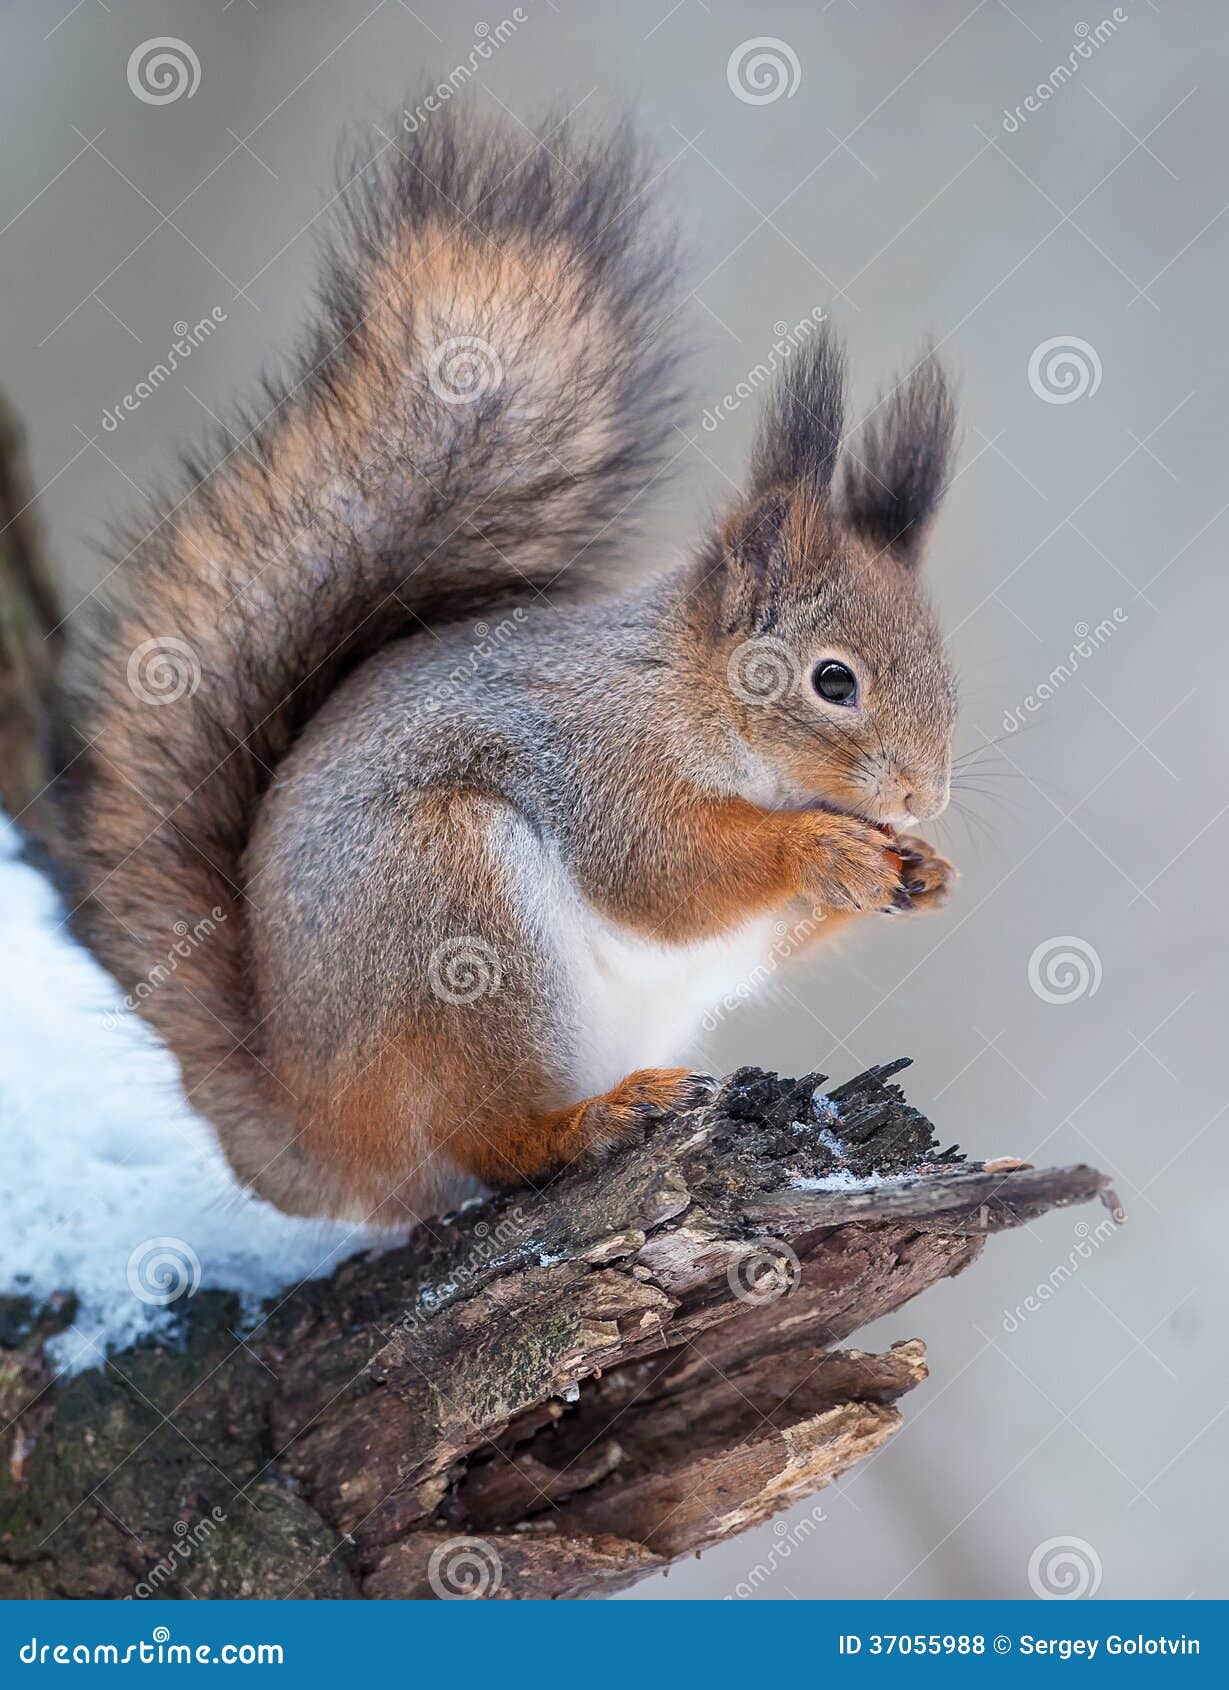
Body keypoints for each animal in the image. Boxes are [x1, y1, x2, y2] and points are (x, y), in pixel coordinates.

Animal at [55, 106, 959, 1226]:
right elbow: (661, 871)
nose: (923, 797)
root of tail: (316, 1139)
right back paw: (585, 1121)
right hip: (453, 920)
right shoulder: (600, 761)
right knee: (485, 1141)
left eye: (944, 673)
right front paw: (819, 849)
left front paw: (920, 868)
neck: (689, 695)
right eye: (833, 680)